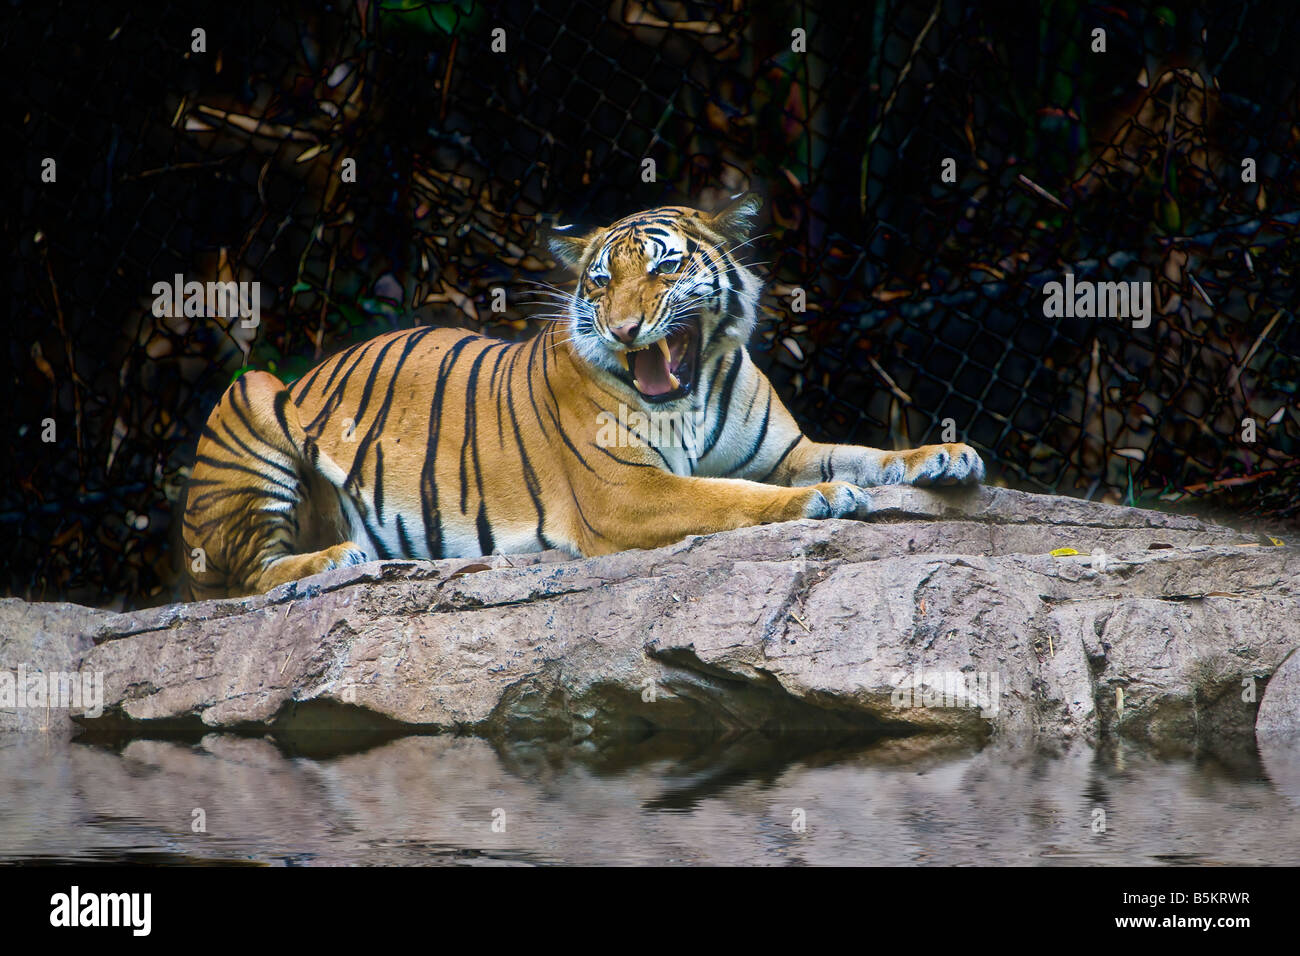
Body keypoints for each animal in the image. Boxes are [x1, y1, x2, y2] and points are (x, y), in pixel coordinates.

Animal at [181, 193, 984, 600]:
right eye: (600, 281)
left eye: (665, 269)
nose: (626, 329)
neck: (692, 390)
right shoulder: (626, 491)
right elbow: (729, 497)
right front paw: (817, 503)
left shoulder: (788, 451)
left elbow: (865, 453)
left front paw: (948, 455)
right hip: (252, 392)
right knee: (247, 578)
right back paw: (334, 559)